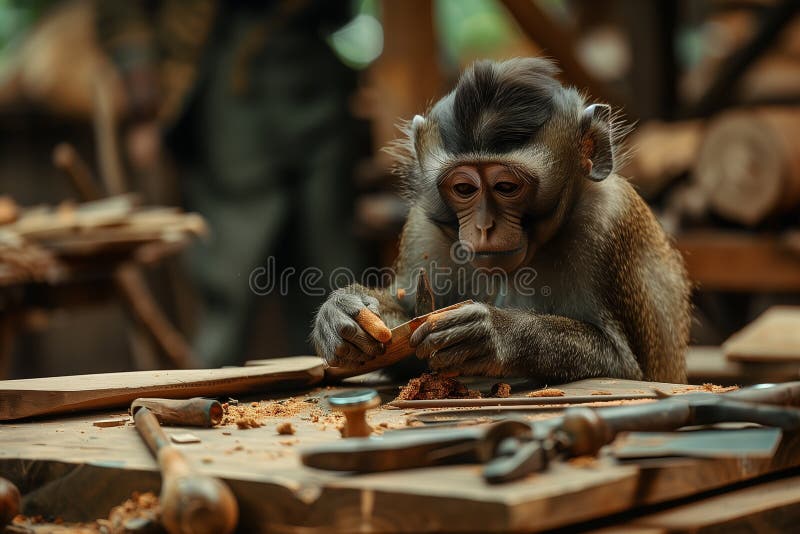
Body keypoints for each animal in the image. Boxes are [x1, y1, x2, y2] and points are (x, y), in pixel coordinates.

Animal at [311, 57, 691, 384]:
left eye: (506, 186)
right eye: (464, 188)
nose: (483, 226)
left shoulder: (610, 221)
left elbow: (625, 366)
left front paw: (494, 333)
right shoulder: (422, 228)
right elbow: (406, 339)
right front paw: (343, 311)